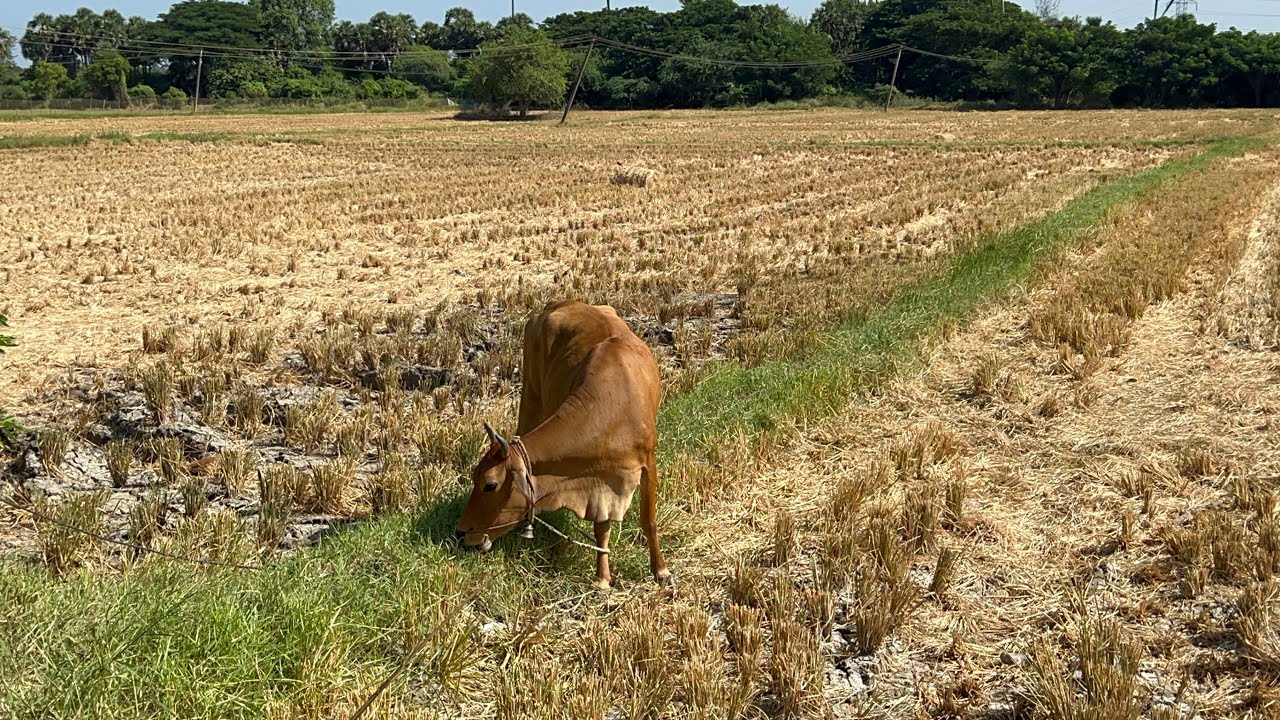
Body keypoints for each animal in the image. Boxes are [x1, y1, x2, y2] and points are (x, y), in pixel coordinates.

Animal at [454, 299, 670, 589]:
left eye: (490, 484)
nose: (461, 532)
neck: (615, 407)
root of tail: (560, 303)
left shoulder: (646, 462)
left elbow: (649, 520)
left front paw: (660, 571)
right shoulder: (599, 483)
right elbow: (602, 528)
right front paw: (602, 579)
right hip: (531, 396)